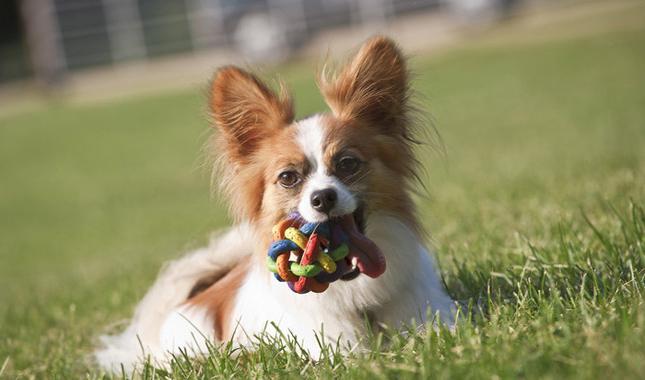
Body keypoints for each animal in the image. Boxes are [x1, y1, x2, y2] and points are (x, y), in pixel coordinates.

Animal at [97, 35, 458, 372]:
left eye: (347, 163)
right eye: (288, 177)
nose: (322, 197)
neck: (358, 296)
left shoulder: (428, 313)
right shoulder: (335, 347)